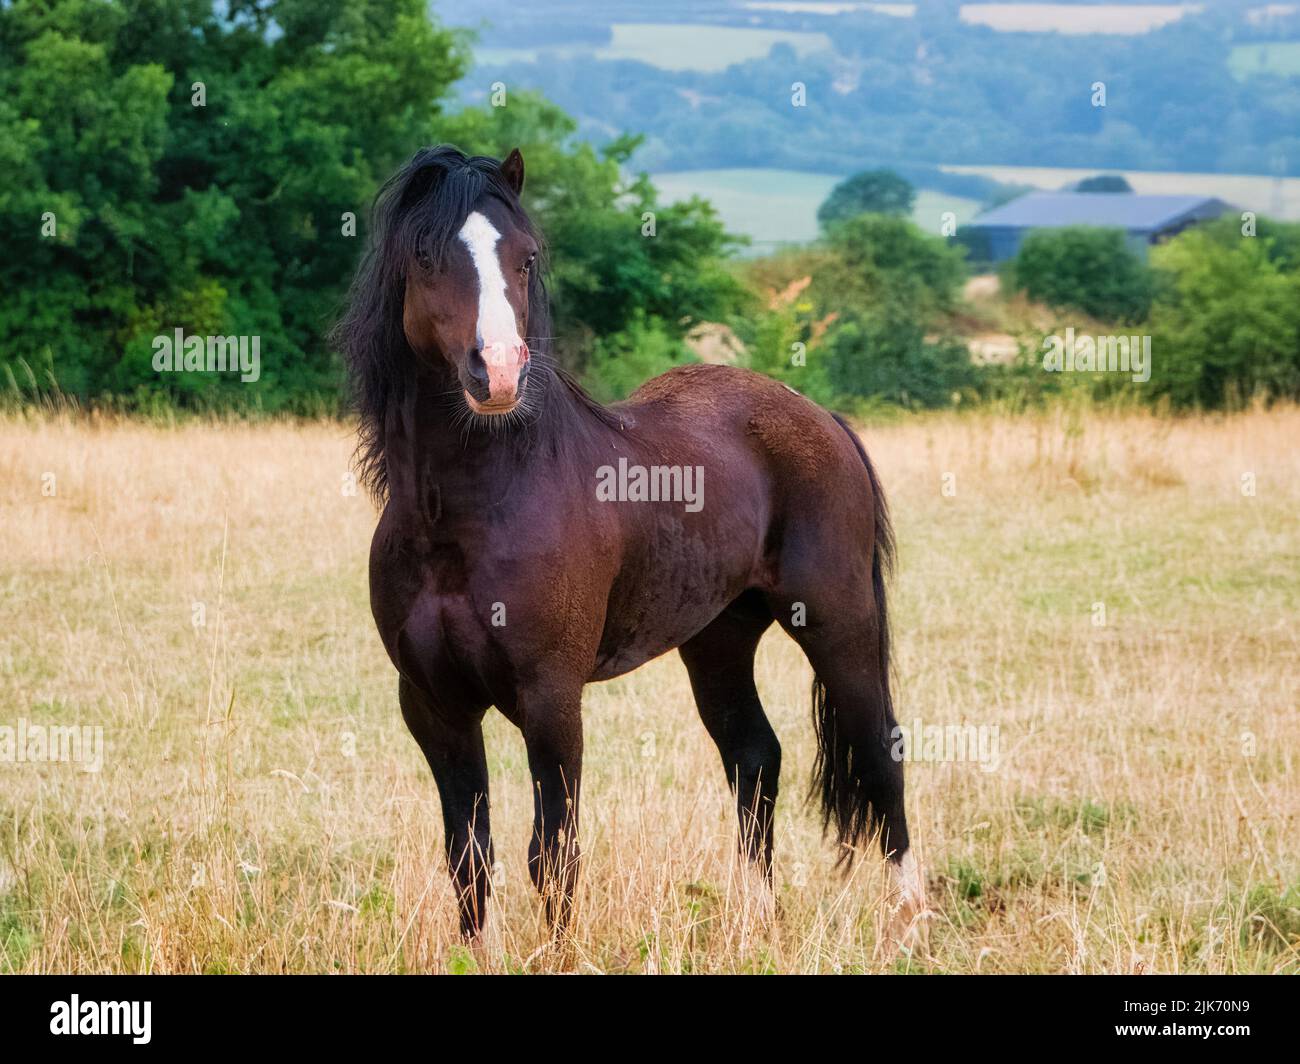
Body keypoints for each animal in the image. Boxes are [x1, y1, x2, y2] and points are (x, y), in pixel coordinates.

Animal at [333, 145, 925, 951]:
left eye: (526, 257)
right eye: (426, 256)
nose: (500, 372)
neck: (463, 514)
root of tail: (818, 416)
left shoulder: (551, 697)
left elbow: (551, 855)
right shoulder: (433, 705)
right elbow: (469, 854)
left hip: (839, 624)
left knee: (879, 753)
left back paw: (910, 925)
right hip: (718, 640)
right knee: (755, 757)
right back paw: (756, 922)